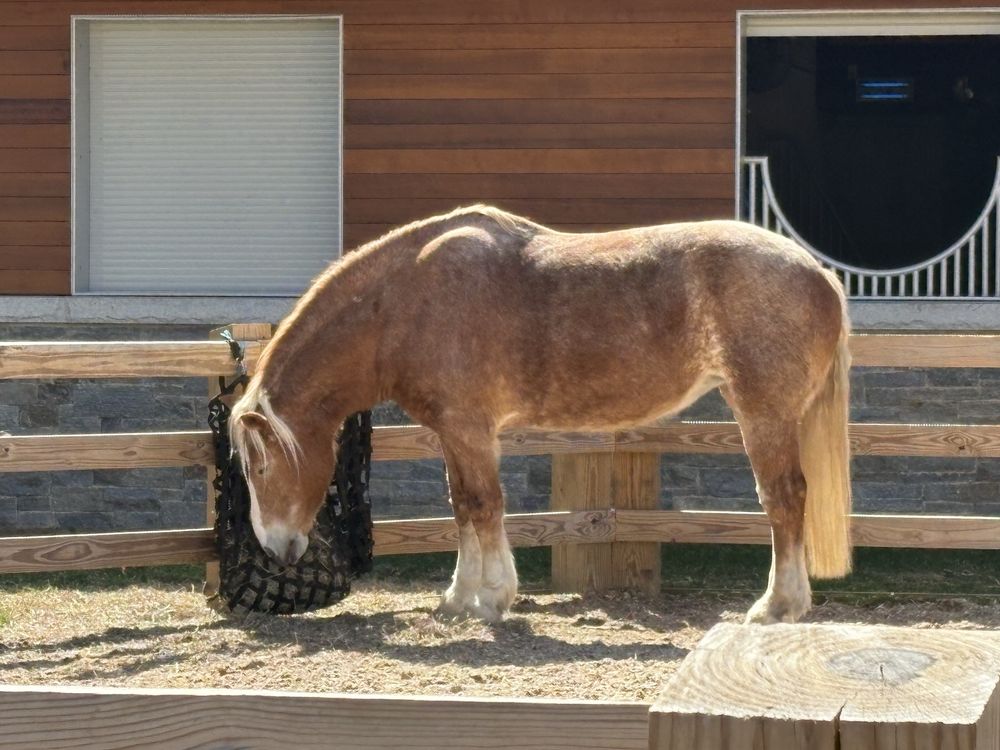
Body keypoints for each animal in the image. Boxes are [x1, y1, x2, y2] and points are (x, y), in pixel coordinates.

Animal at [230, 204, 852, 625]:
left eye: (259, 468)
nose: (275, 547)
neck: (403, 304)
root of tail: (819, 273)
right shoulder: (453, 434)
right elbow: (462, 506)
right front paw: (459, 597)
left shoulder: (471, 430)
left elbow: (485, 505)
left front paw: (492, 599)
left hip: (764, 415)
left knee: (784, 498)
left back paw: (777, 606)